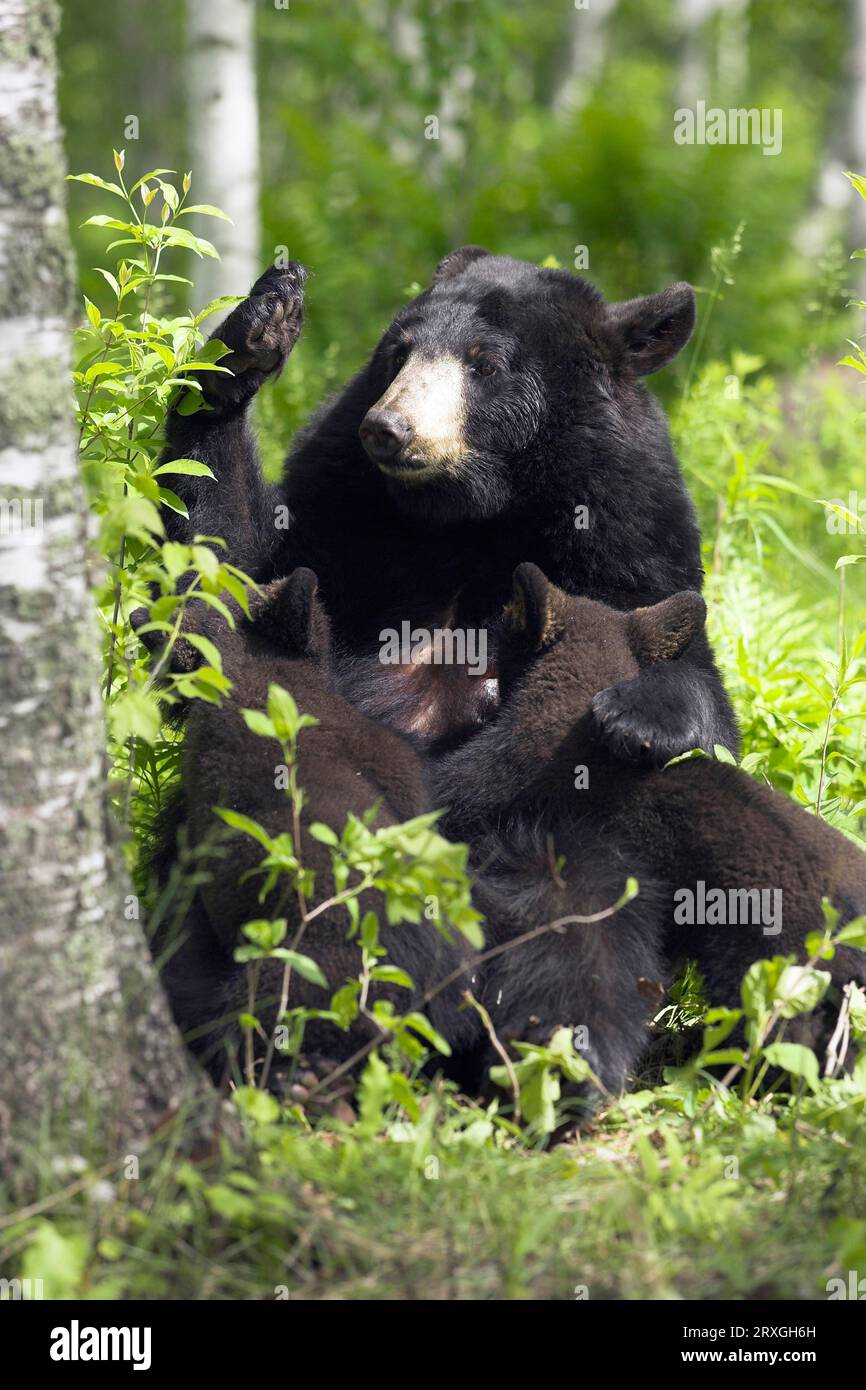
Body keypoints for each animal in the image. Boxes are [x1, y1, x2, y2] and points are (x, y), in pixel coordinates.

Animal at [158, 249, 738, 765]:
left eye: (485, 364)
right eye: (399, 353)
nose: (387, 428)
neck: (467, 516)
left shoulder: (625, 536)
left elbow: (690, 669)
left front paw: (636, 713)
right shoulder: (339, 505)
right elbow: (231, 572)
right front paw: (257, 325)